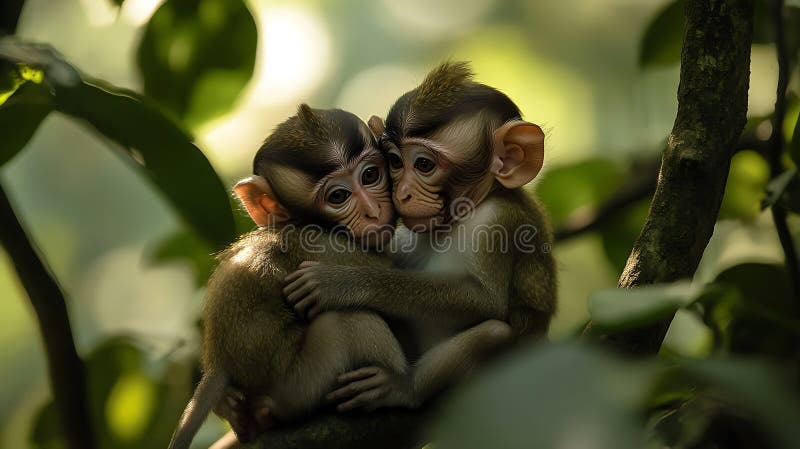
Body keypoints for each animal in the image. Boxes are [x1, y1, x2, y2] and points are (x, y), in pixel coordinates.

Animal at [167, 105, 410, 449]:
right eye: (338, 196)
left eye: (370, 175)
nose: (373, 211)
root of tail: (219, 362)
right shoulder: (325, 245)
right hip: (297, 386)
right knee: (348, 321)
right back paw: (401, 386)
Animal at [282, 61, 557, 411]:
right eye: (395, 161)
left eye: (424, 164)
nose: (404, 193)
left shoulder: (499, 222)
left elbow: (486, 299)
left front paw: (342, 282)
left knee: (494, 333)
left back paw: (404, 387)